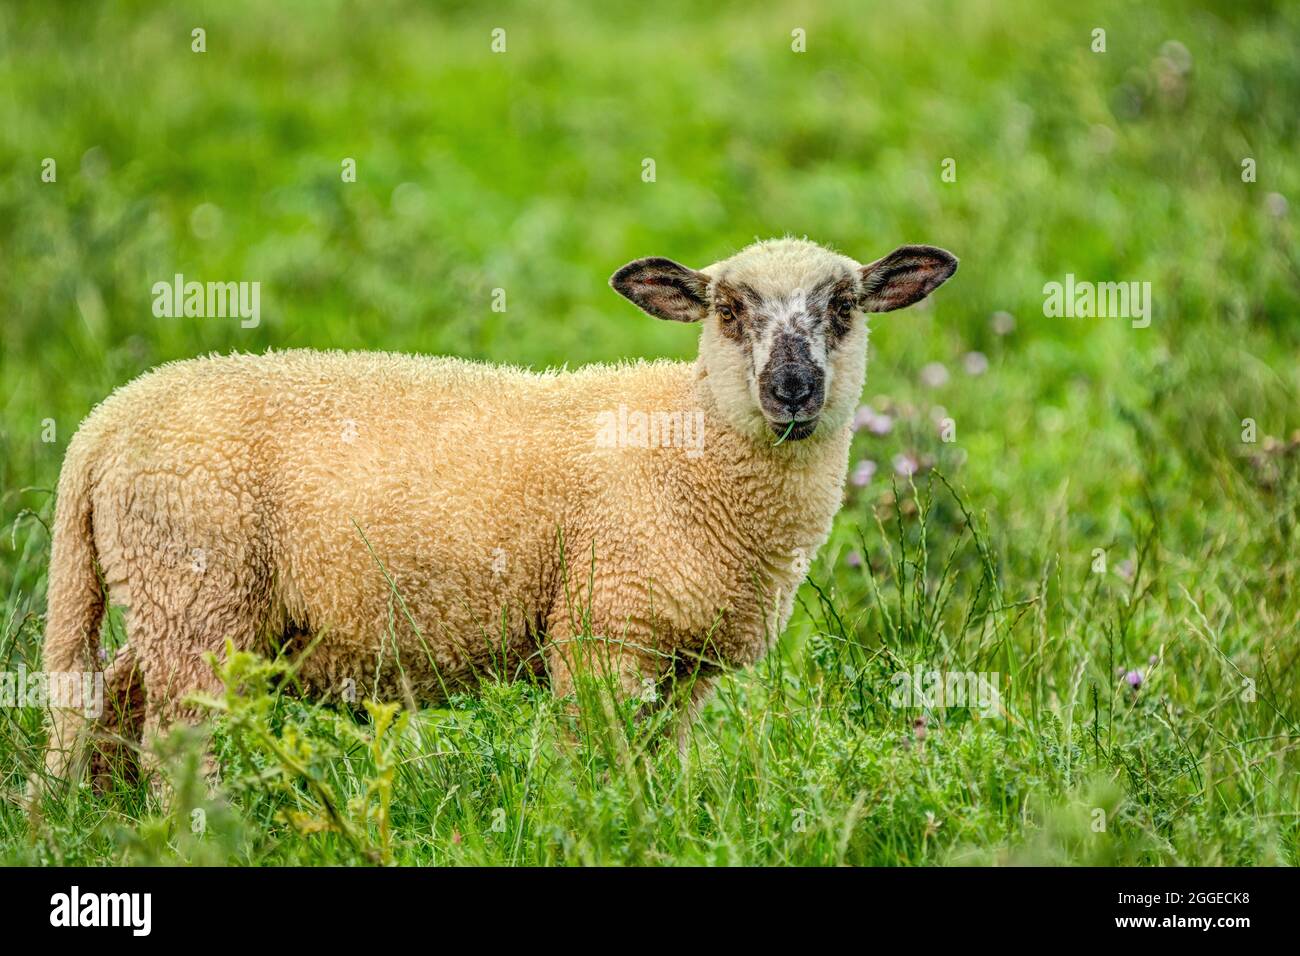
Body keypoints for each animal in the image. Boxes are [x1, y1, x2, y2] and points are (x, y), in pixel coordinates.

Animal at [41, 237, 956, 785]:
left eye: (844, 309)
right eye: (728, 311)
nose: (793, 389)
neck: (691, 444)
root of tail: (102, 425)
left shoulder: (685, 659)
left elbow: (659, 762)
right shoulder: (602, 627)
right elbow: (599, 760)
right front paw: (604, 823)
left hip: (181, 600)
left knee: (107, 710)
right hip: (198, 592)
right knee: (174, 741)